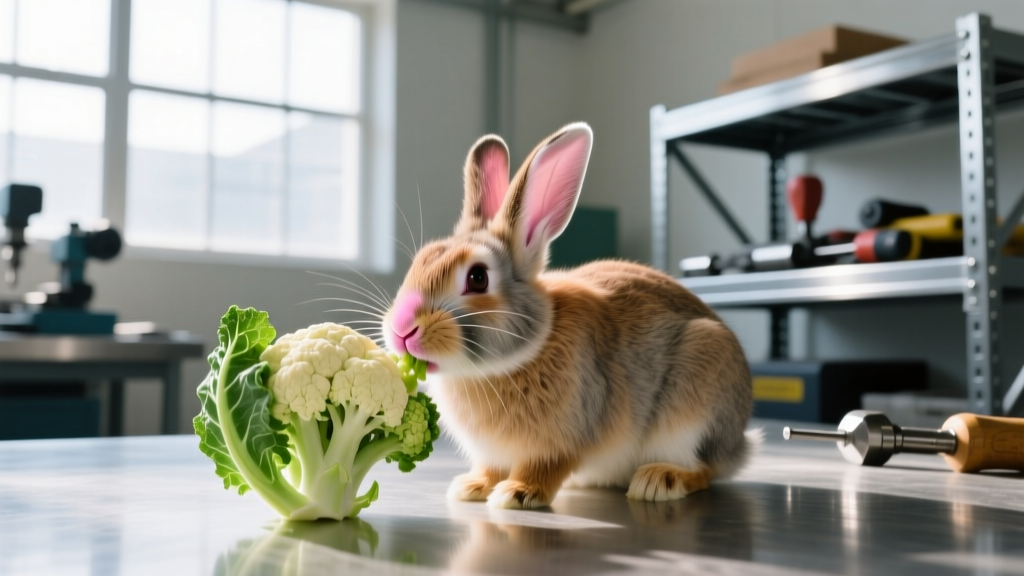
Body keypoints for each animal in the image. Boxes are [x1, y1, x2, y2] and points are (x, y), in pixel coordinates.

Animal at [384, 122, 757, 510]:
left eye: (478, 278)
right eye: (421, 259)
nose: (401, 330)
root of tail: (739, 445)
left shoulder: (562, 439)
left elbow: (545, 467)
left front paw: (517, 494)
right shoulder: (493, 454)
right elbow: (491, 468)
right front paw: (471, 487)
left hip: (698, 401)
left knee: (704, 469)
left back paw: (659, 480)